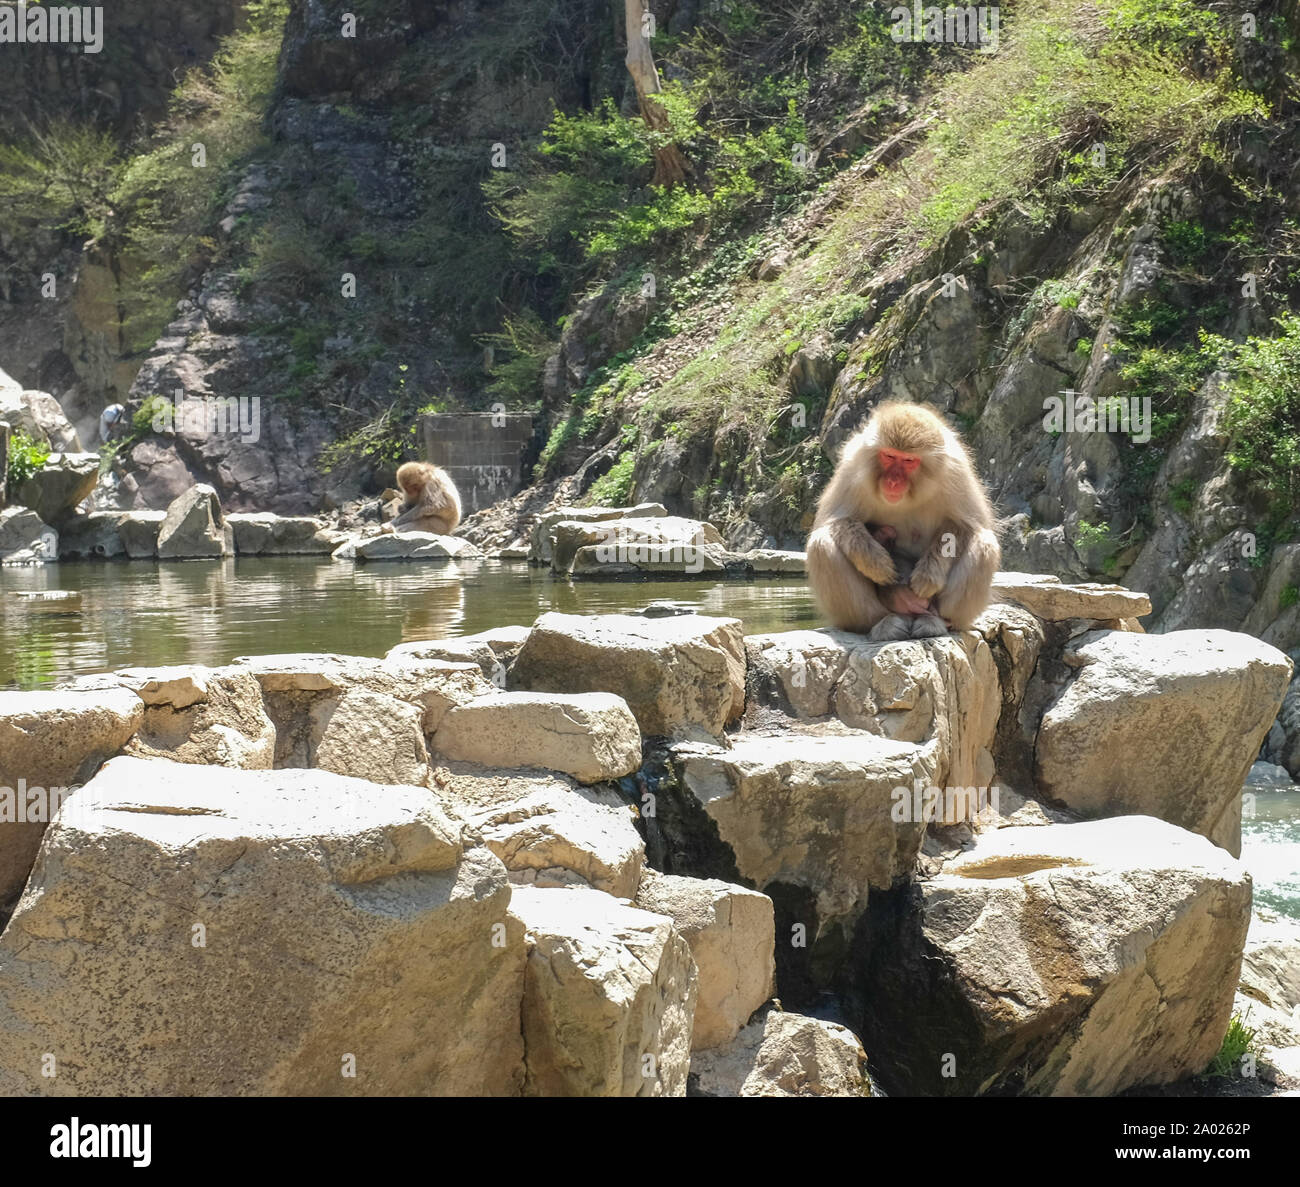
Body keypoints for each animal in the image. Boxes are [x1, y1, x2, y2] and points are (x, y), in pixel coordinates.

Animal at [806, 401, 1000, 642]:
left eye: (908, 461)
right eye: (889, 456)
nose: (893, 481)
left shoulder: (956, 473)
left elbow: (967, 526)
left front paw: (928, 576)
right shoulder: (852, 469)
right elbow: (834, 522)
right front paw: (876, 563)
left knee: (984, 543)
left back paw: (936, 622)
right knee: (821, 545)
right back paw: (881, 622)